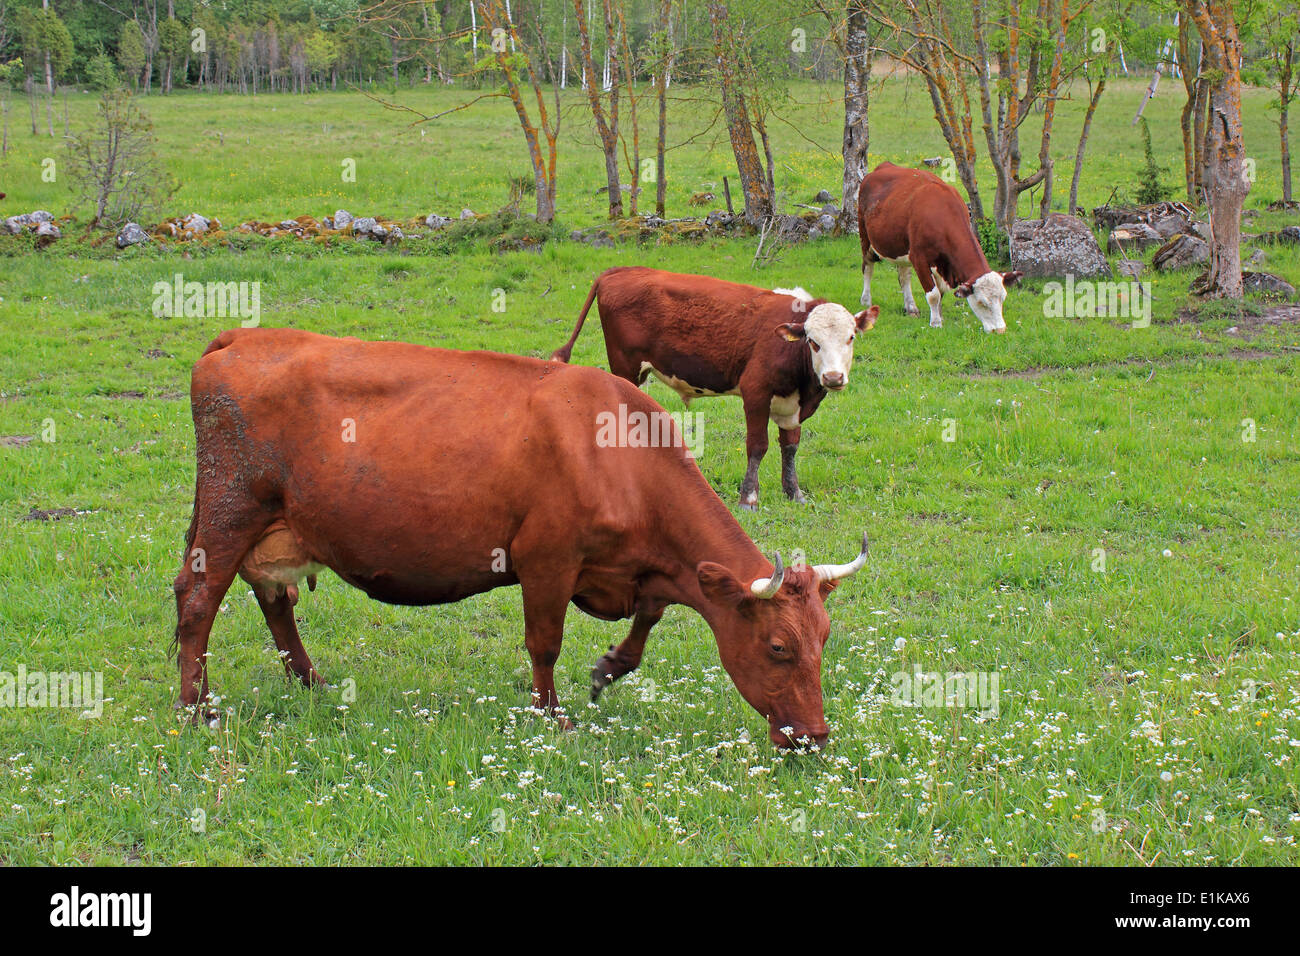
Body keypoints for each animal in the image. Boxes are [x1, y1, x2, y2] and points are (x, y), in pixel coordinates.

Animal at [173, 328, 871, 749]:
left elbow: (647, 619)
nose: (815, 737)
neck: (619, 455)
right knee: (197, 602)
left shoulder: (642, 571)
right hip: (230, 514)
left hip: (271, 528)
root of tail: (244, 337)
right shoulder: (547, 560)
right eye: (779, 647)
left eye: (823, 640)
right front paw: (552, 714)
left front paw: (609, 667)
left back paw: (310, 682)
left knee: (273, 600)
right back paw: (195, 709)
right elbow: (545, 643)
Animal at [550, 267, 877, 510]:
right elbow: (758, 446)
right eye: (813, 341)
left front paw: (793, 493)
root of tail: (620, 270)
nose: (833, 377)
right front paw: (749, 498)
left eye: (850, 337)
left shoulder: (792, 407)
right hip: (625, 368)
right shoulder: (755, 393)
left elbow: (790, 447)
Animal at [857, 161, 1022, 333]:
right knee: (868, 268)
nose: (1000, 330)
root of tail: (884, 166)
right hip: (865, 237)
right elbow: (933, 295)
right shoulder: (919, 259)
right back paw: (866, 300)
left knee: (904, 276)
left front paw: (940, 317)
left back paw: (911, 307)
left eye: (1003, 298)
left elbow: (940, 293)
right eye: (982, 302)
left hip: (900, 246)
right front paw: (936, 323)